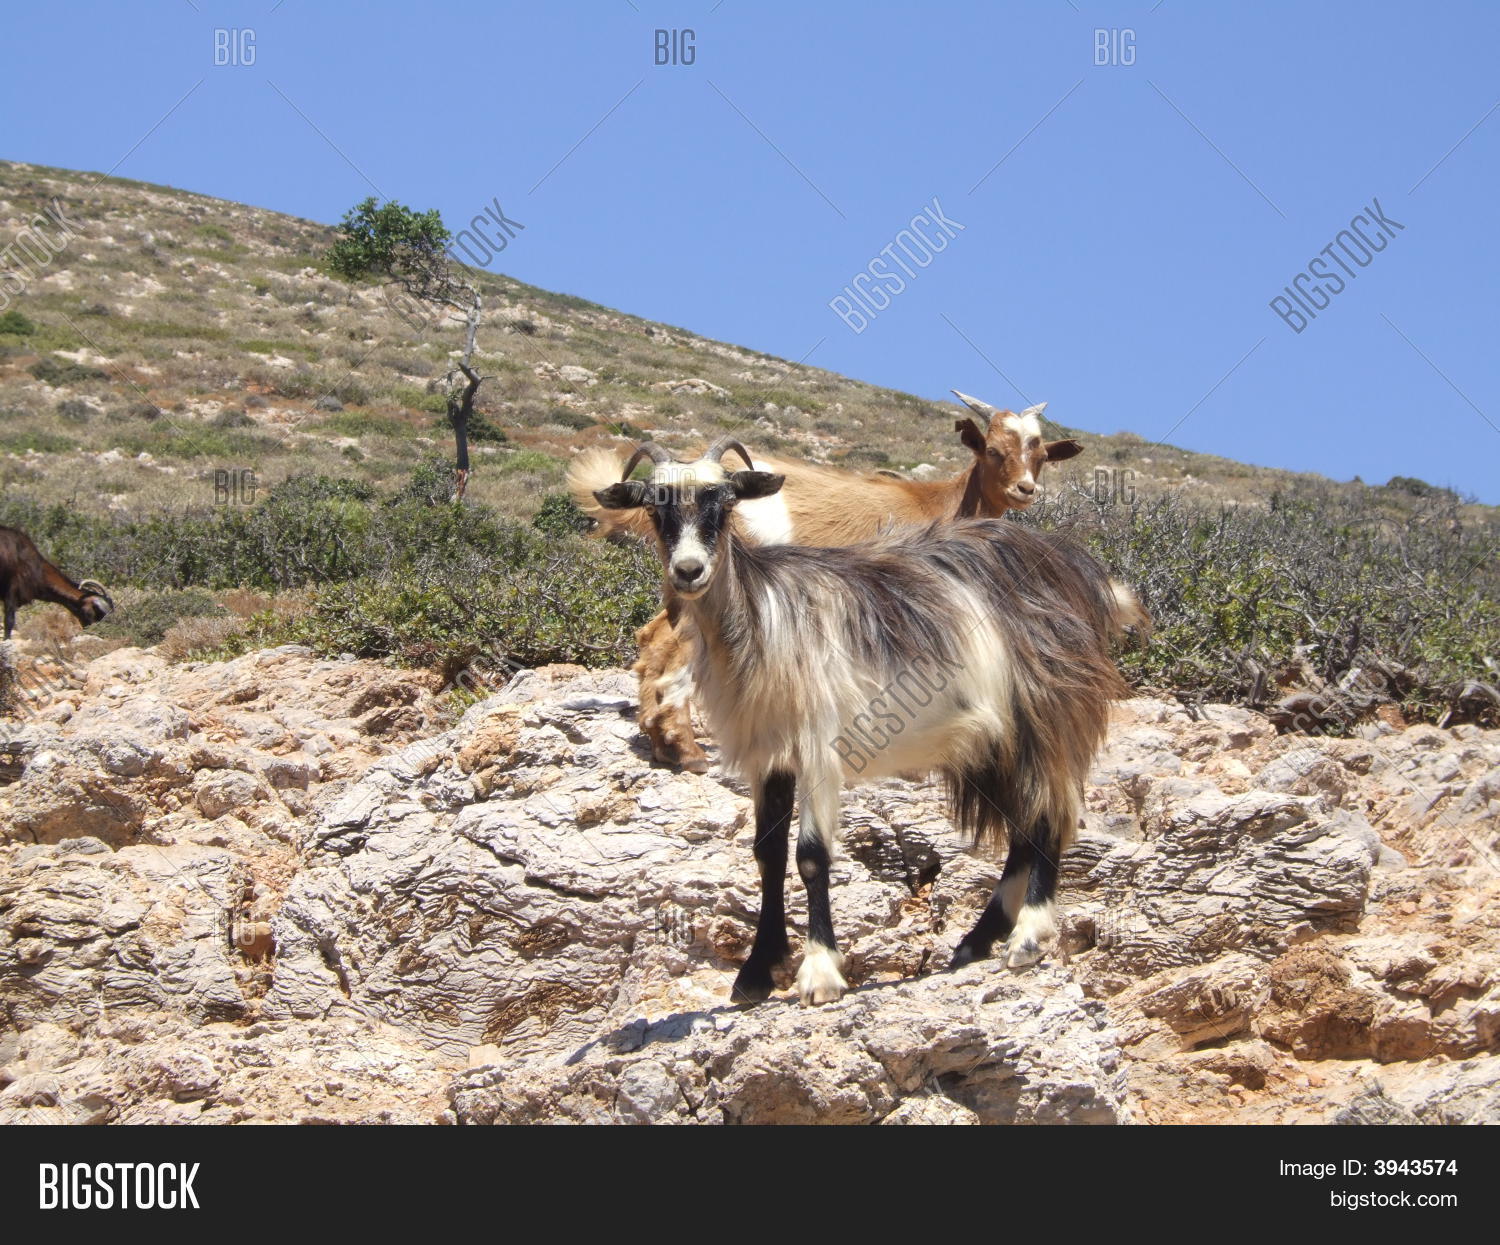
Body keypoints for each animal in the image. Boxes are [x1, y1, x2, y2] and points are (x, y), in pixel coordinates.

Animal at [568, 391, 1084, 771]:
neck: (943, 500)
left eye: (1039, 455)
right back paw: (685, 748)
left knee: (651, 637)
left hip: (682, 580)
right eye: (993, 451)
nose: (1024, 489)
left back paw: (660, 741)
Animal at [594, 437, 1140, 1006]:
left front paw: (820, 972)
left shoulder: (820, 745)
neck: (764, 618)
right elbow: (767, 854)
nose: (688, 571)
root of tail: (1083, 572)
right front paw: (758, 969)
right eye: (654, 508)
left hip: (1048, 710)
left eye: (723, 503)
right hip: (997, 740)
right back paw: (975, 942)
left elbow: (811, 856)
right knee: (1023, 828)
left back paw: (1029, 936)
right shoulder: (769, 754)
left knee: (1050, 812)